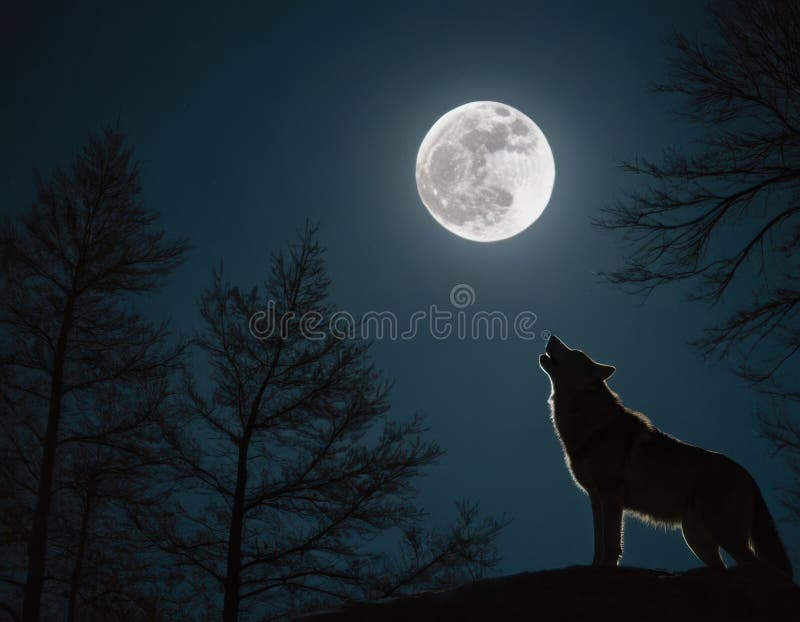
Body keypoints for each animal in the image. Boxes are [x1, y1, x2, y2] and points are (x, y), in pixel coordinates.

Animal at [539, 335, 793, 576]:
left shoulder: (611, 494)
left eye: (575, 352)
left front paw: (607, 569)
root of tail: (749, 475)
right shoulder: (595, 496)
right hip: (697, 540)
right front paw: (594, 568)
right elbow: (598, 543)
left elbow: (611, 543)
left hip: (723, 535)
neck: (593, 425)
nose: (551, 336)